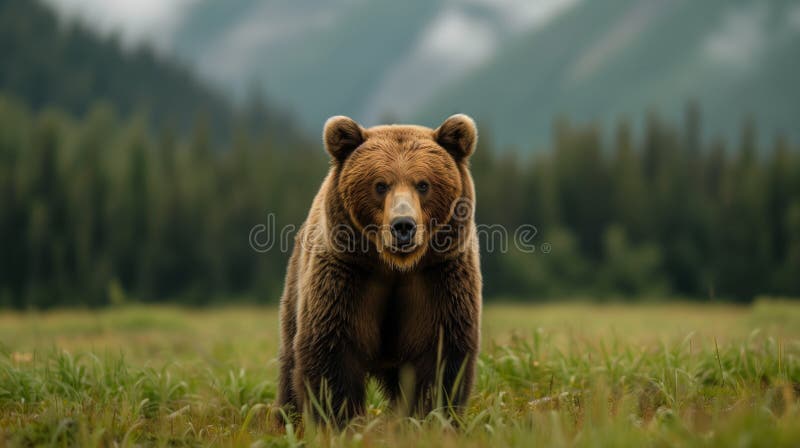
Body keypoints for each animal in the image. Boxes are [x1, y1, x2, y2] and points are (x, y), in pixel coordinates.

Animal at [275, 114, 482, 428]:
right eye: (380, 185)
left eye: (423, 184)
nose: (403, 225)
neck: (395, 266)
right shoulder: (347, 276)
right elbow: (331, 355)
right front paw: (338, 422)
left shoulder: (439, 278)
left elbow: (441, 356)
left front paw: (432, 419)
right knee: (289, 364)